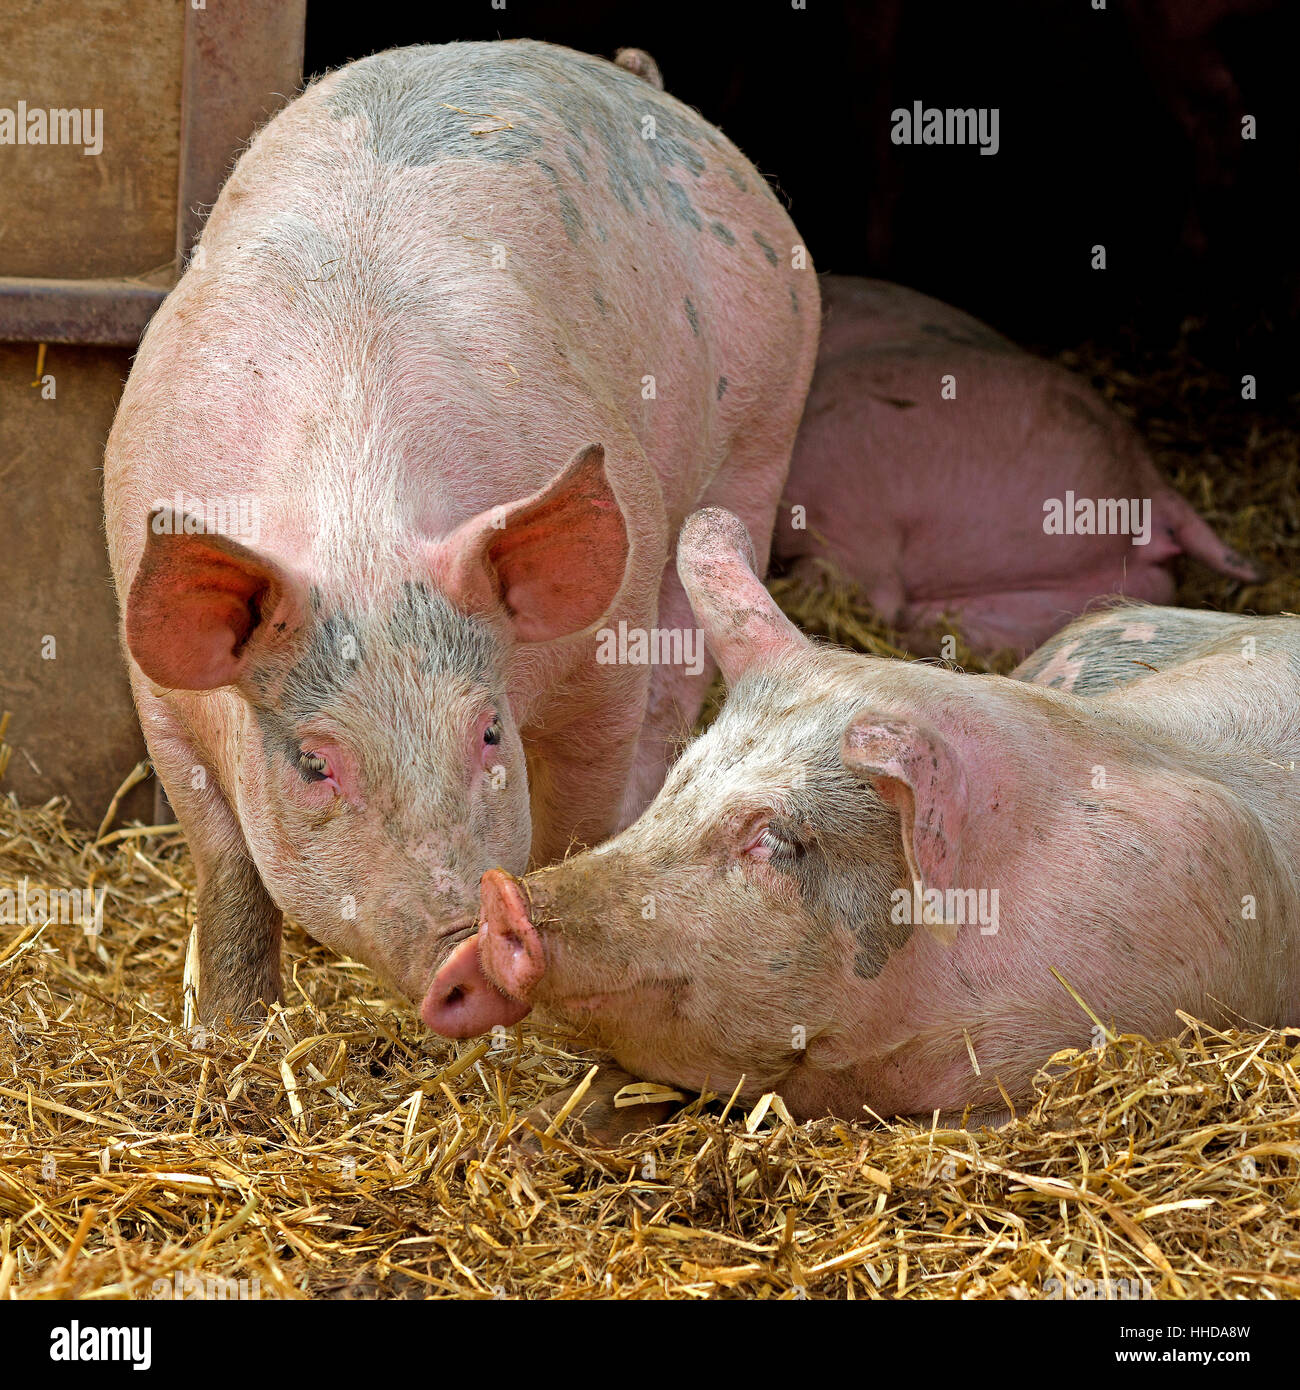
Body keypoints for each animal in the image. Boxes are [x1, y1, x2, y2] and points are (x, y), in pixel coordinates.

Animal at [102, 42, 819, 1025]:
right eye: (315, 764)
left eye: (485, 732)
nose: (461, 950)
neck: (360, 530)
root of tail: (640, 81)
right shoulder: (162, 699)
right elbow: (229, 871)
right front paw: (228, 1032)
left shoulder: (603, 657)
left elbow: (574, 826)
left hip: (762, 429)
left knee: (677, 687)